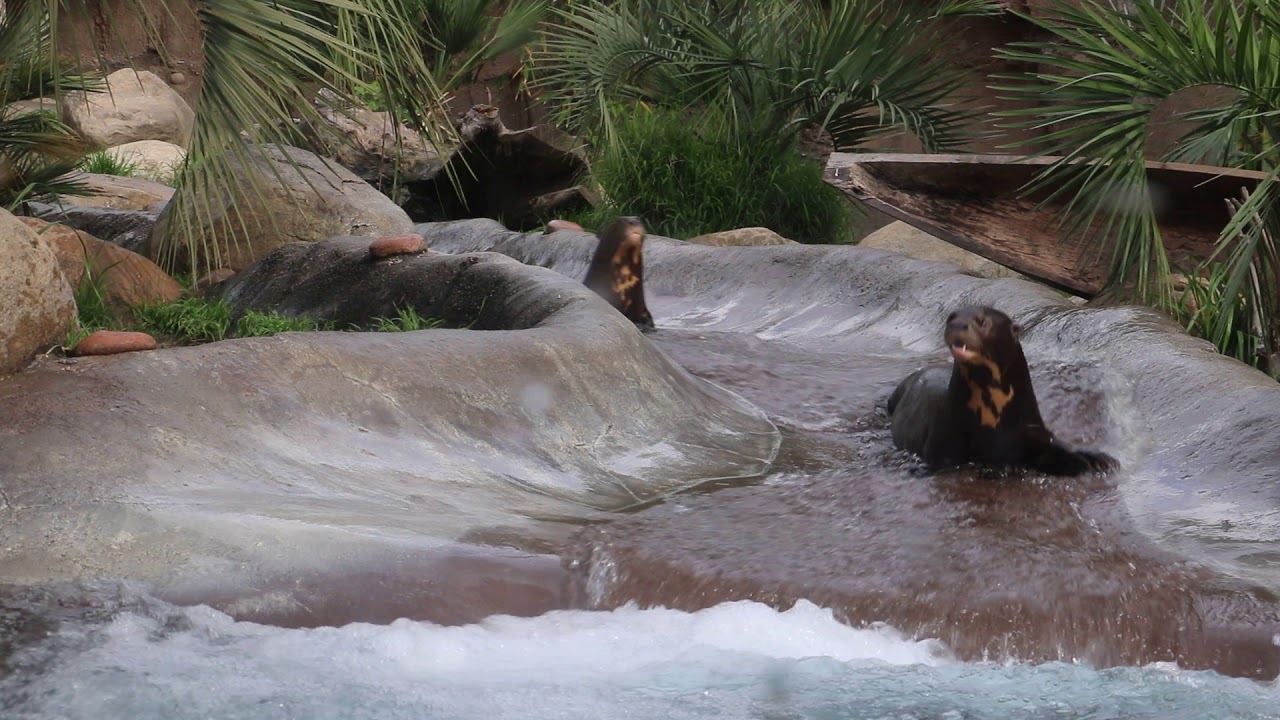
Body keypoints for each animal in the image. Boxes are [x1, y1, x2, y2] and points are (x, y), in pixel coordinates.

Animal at [887, 306, 1116, 476]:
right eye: (951, 317)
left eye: (981, 321)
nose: (957, 325)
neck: (992, 419)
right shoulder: (944, 439)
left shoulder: (1032, 430)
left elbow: (1056, 450)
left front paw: (1094, 459)